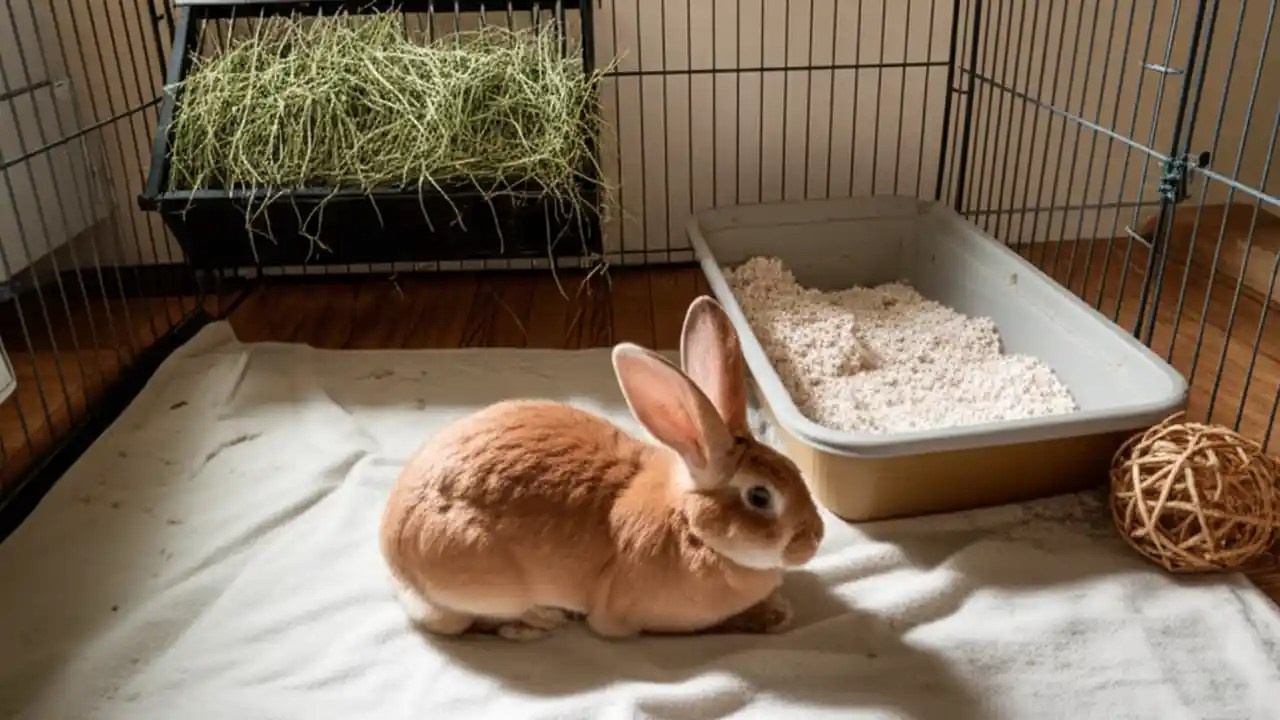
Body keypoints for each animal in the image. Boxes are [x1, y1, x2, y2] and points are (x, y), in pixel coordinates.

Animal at [379, 296, 824, 641]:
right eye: (760, 496)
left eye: (794, 469)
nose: (815, 538)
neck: (691, 526)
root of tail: (393, 551)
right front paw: (774, 615)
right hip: (482, 578)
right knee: (461, 622)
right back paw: (537, 621)